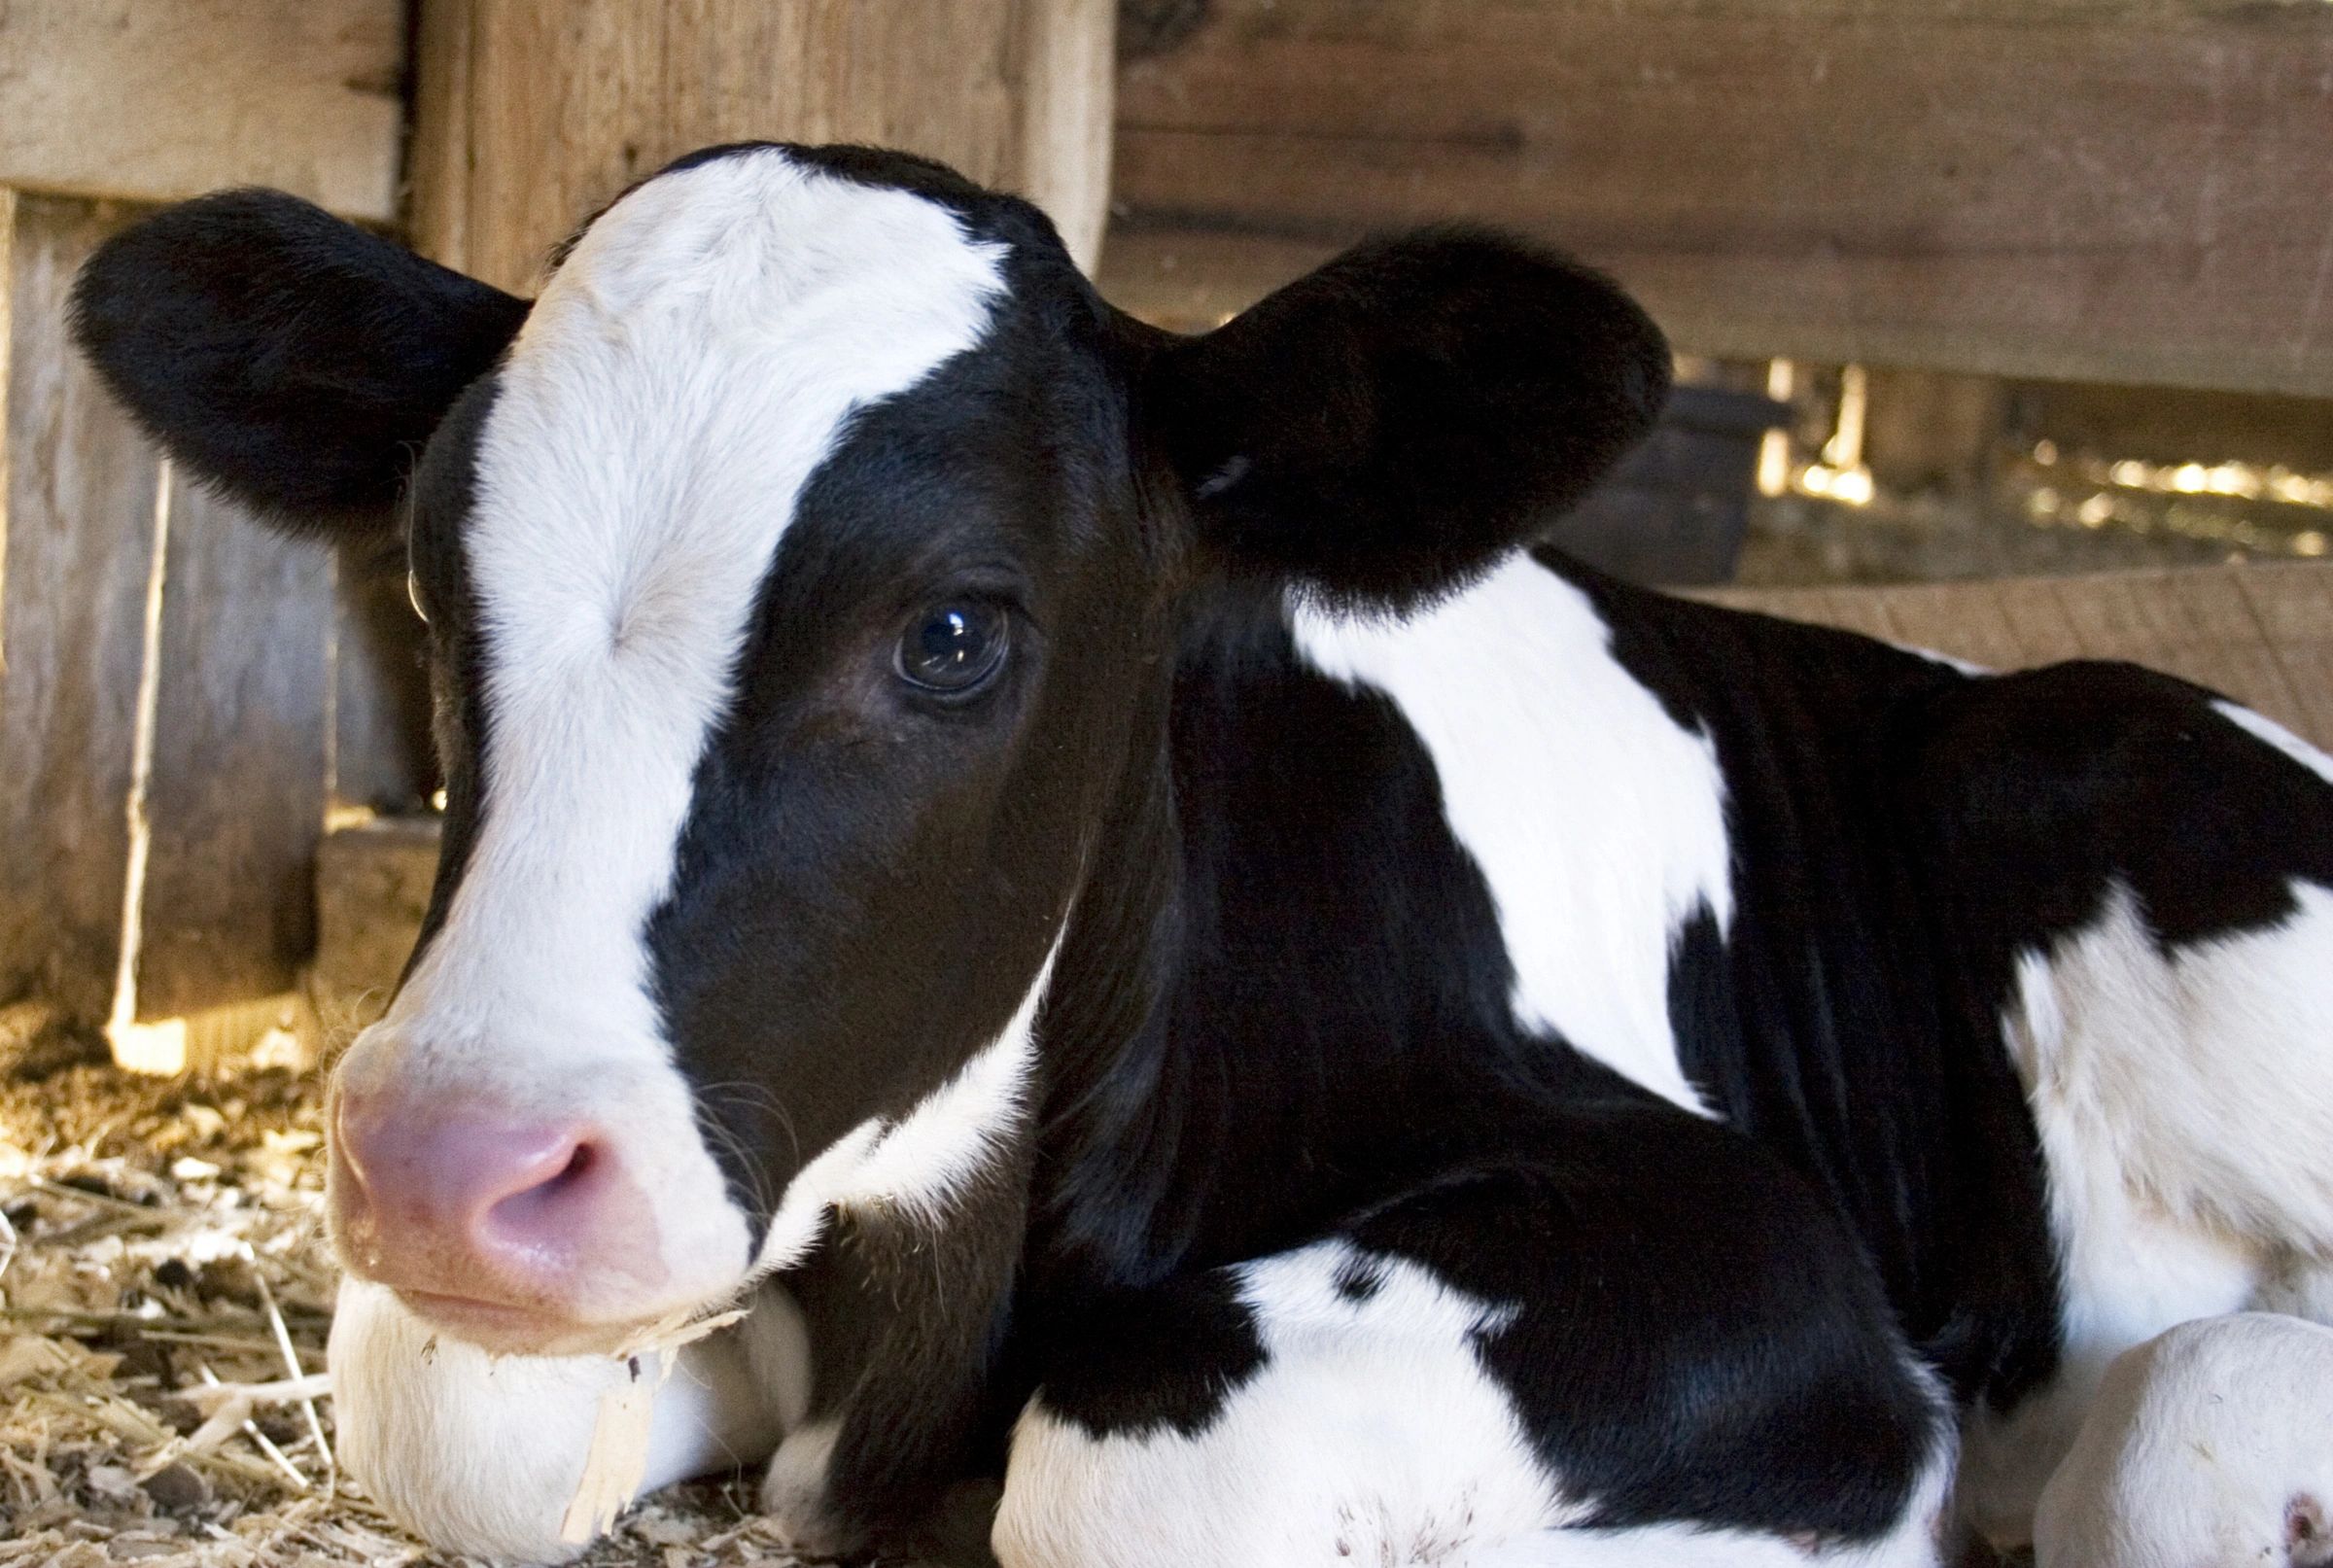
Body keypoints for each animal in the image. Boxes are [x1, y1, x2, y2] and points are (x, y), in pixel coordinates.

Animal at [71, 142, 2333, 1568]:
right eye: (433, 593)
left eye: (952, 629)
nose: (445, 1161)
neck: (942, 1313)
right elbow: (454, 1407)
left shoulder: (1760, 1250)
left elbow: (1130, 1457)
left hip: (2084, 787)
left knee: (2175, 1431)